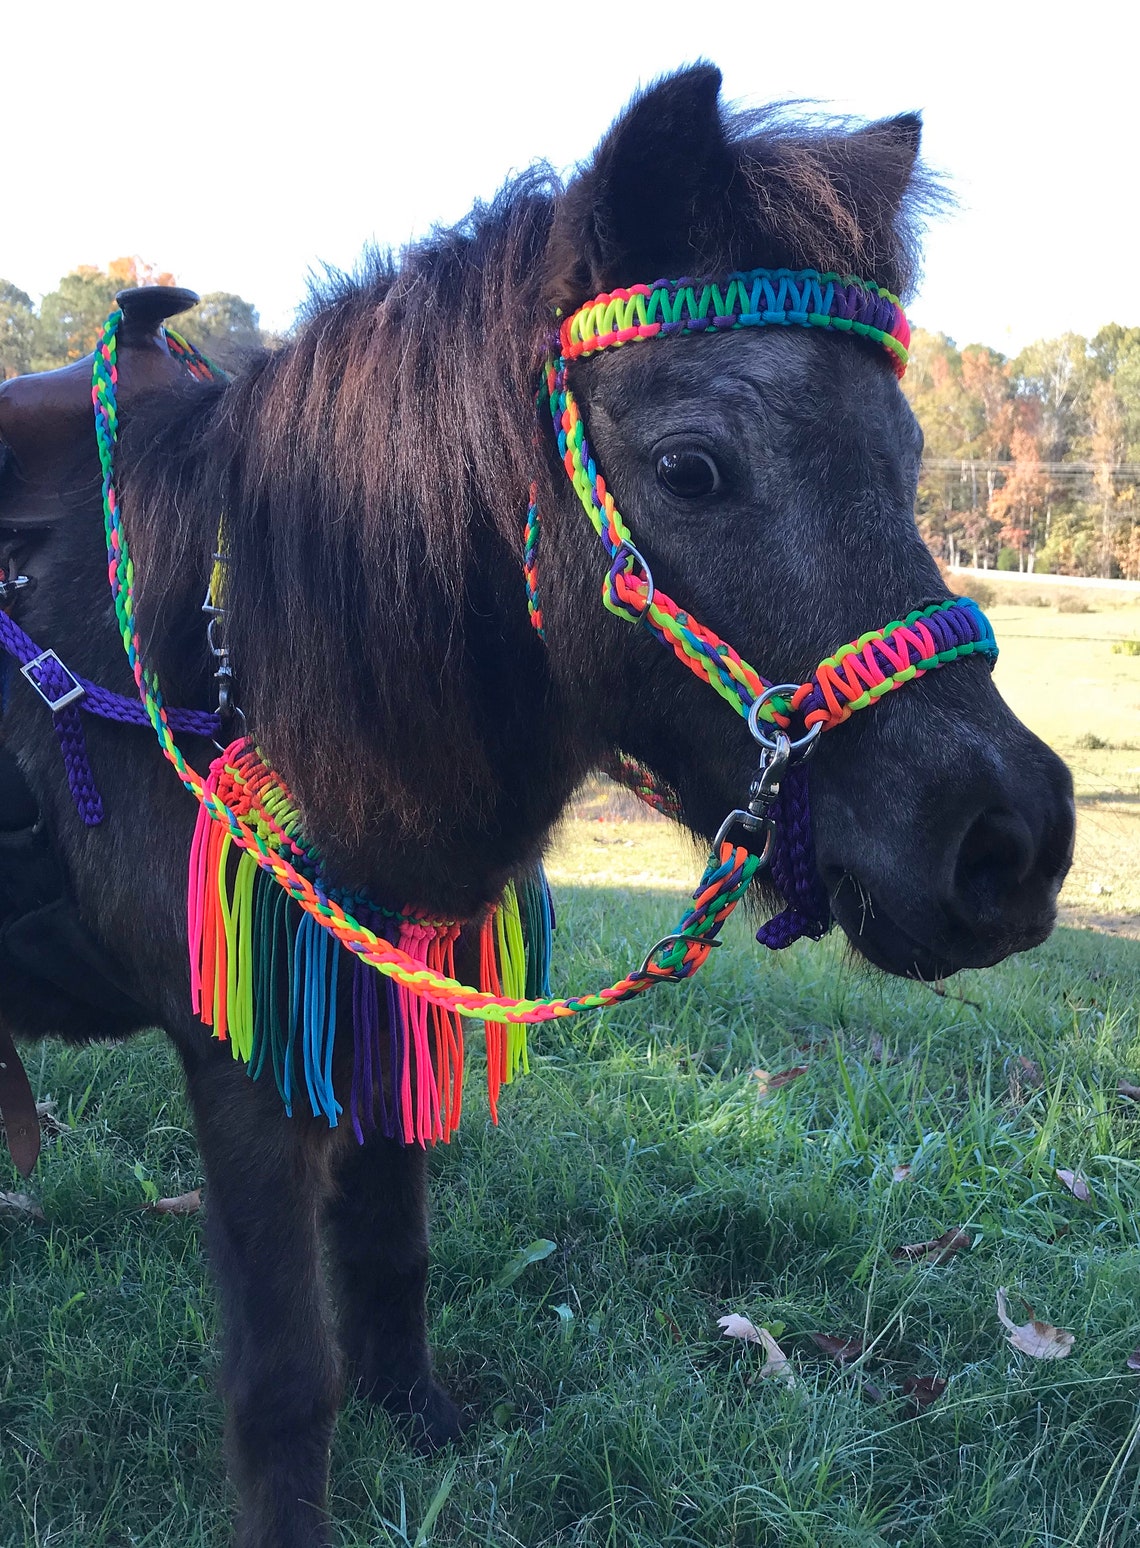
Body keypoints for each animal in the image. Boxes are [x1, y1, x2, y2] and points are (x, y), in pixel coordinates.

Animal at [0, 64, 1074, 1548]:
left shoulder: (381, 993)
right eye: (690, 468)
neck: (233, 656)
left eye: (912, 457)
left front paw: (421, 1420)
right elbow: (285, 1371)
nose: (1012, 843)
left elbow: (391, 1245)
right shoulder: (246, 1054)